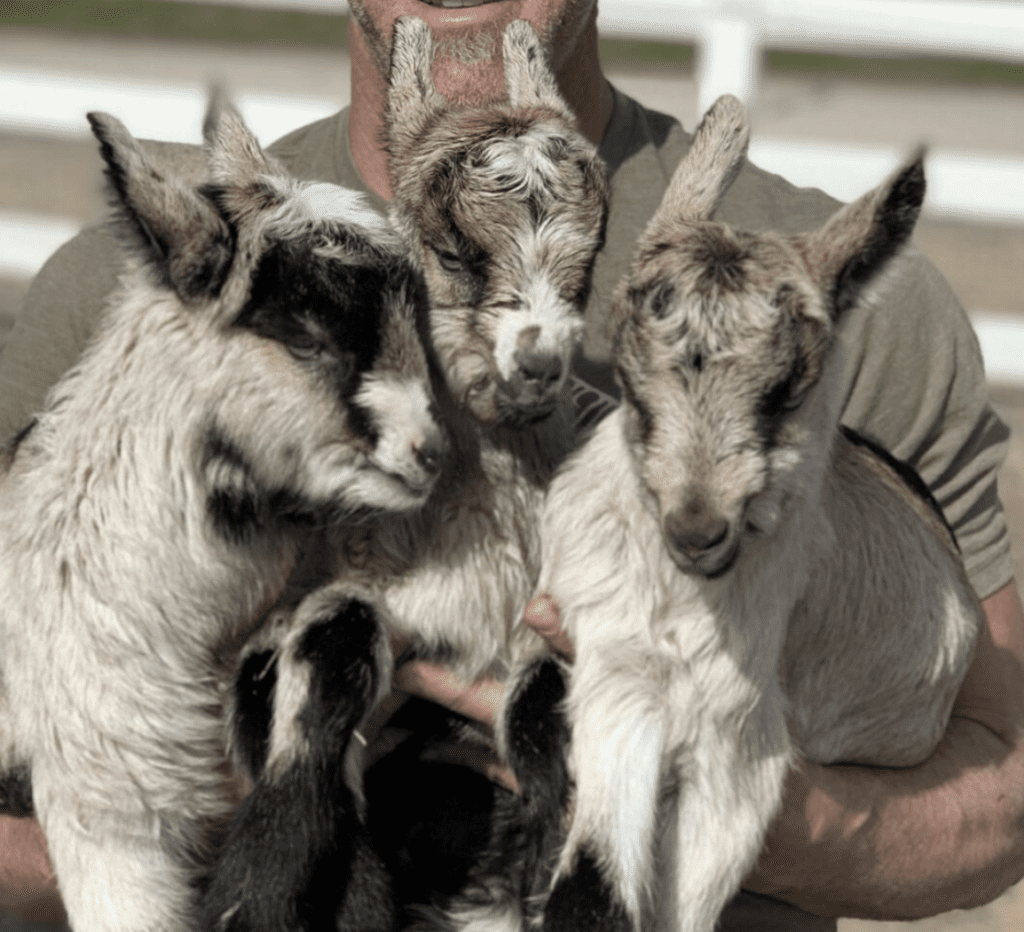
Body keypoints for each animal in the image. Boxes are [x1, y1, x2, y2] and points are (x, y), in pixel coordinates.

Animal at [441, 94, 982, 932]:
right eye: (630, 384)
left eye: (786, 391)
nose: (698, 530)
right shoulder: (593, 669)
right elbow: (582, 865)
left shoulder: (726, 752)